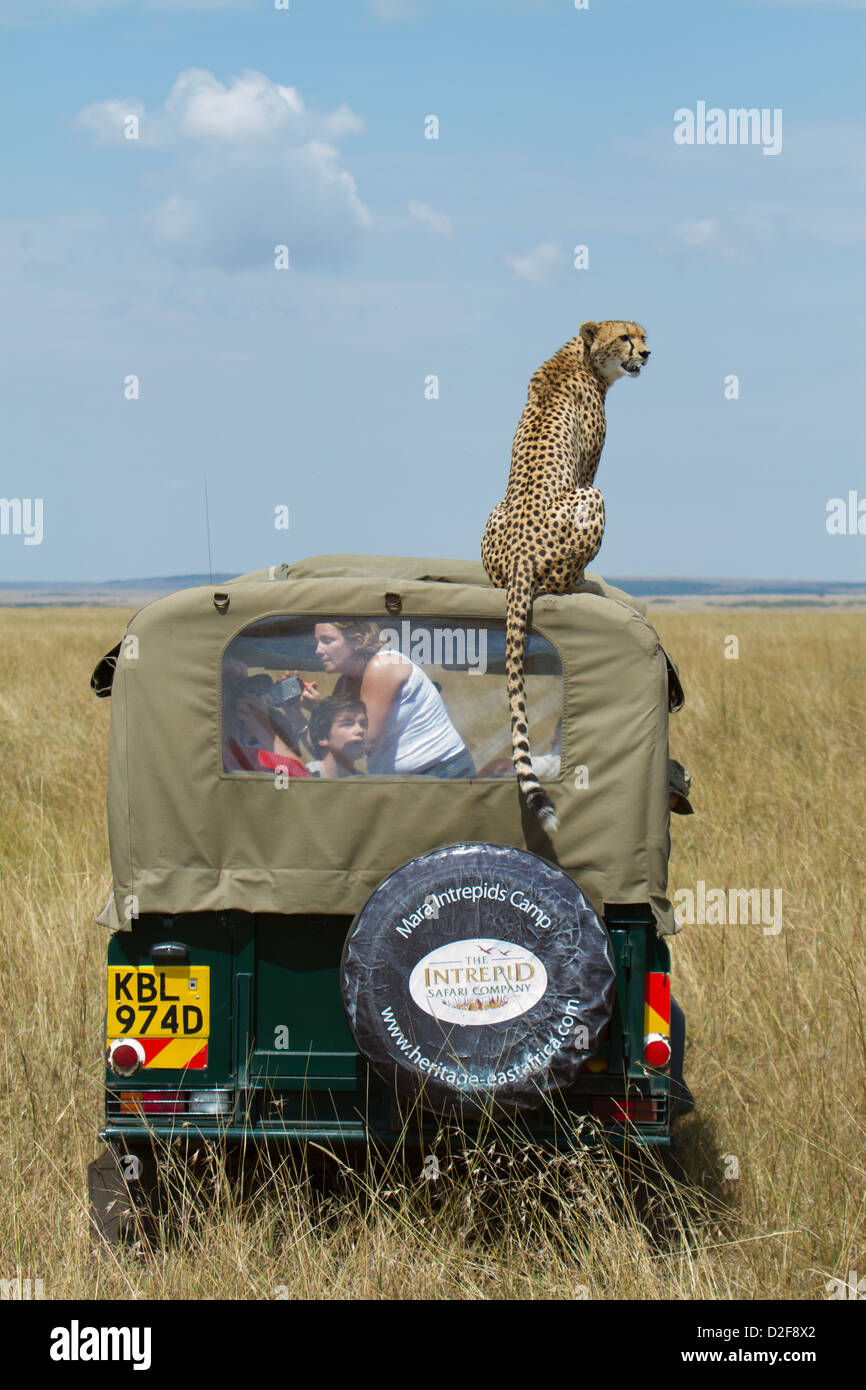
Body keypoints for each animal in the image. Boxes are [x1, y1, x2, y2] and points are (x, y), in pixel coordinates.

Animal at [481, 319, 650, 834]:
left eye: (643, 335)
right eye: (626, 338)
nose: (648, 354)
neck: (578, 354)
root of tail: (519, 557)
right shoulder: (588, 468)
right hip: (592, 497)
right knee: (570, 573)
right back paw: (588, 584)